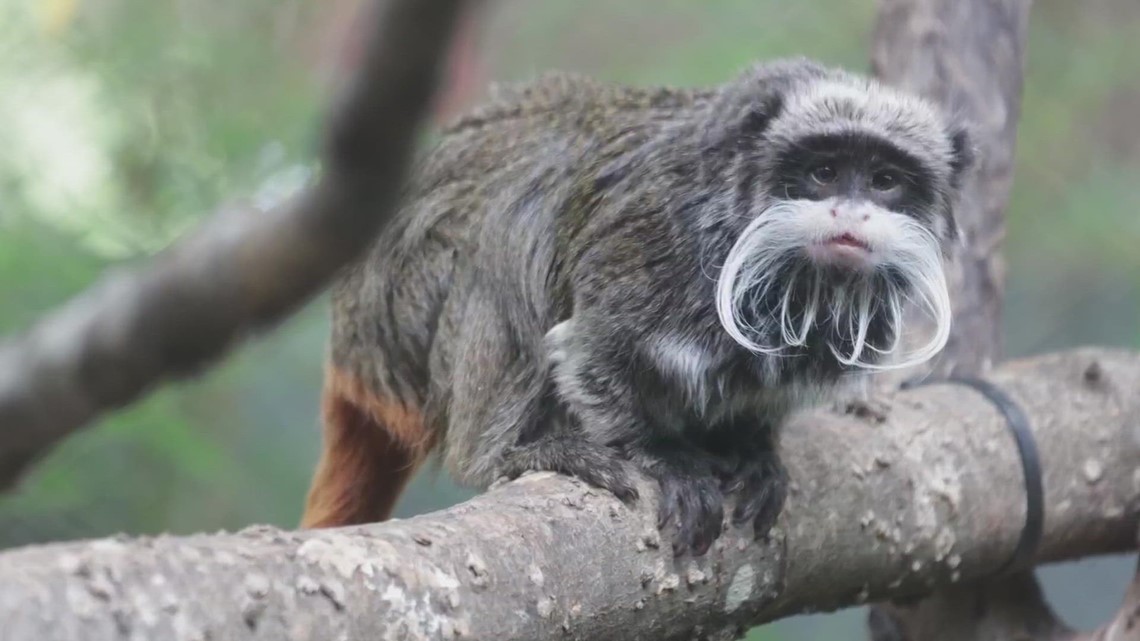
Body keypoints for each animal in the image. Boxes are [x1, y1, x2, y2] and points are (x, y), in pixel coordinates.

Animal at [300, 57, 974, 556]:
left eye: (885, 181)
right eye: (824, 172)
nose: (851, 213)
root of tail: (347, 341)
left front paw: (754, 449)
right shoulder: (656, 245)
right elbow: (589, 351)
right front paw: (662, 456)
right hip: (399, 318)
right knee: (508, 234)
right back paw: (509, 450)